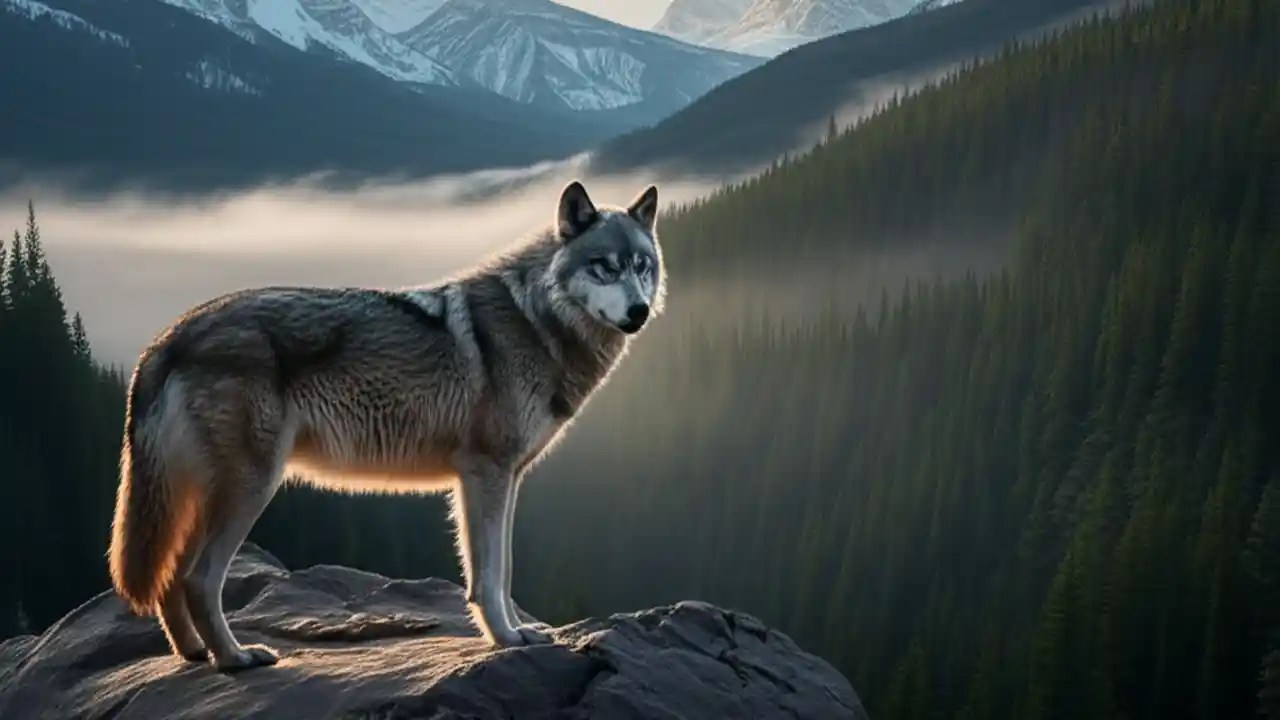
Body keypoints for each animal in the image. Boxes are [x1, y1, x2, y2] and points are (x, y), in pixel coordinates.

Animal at [107, 181, 664, 671]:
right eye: (605, 267)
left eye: (642, 267)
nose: (639, 311)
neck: (537, 320)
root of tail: (166, 338)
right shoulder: (486, 474)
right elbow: (490, 575)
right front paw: (506, 638)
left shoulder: (504, 478)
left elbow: (499, 569)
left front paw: (513, 632)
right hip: (251, 488)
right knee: (199, 579)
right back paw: (234, 659)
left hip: (206, 496)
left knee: (172, 576)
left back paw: (193, 654)